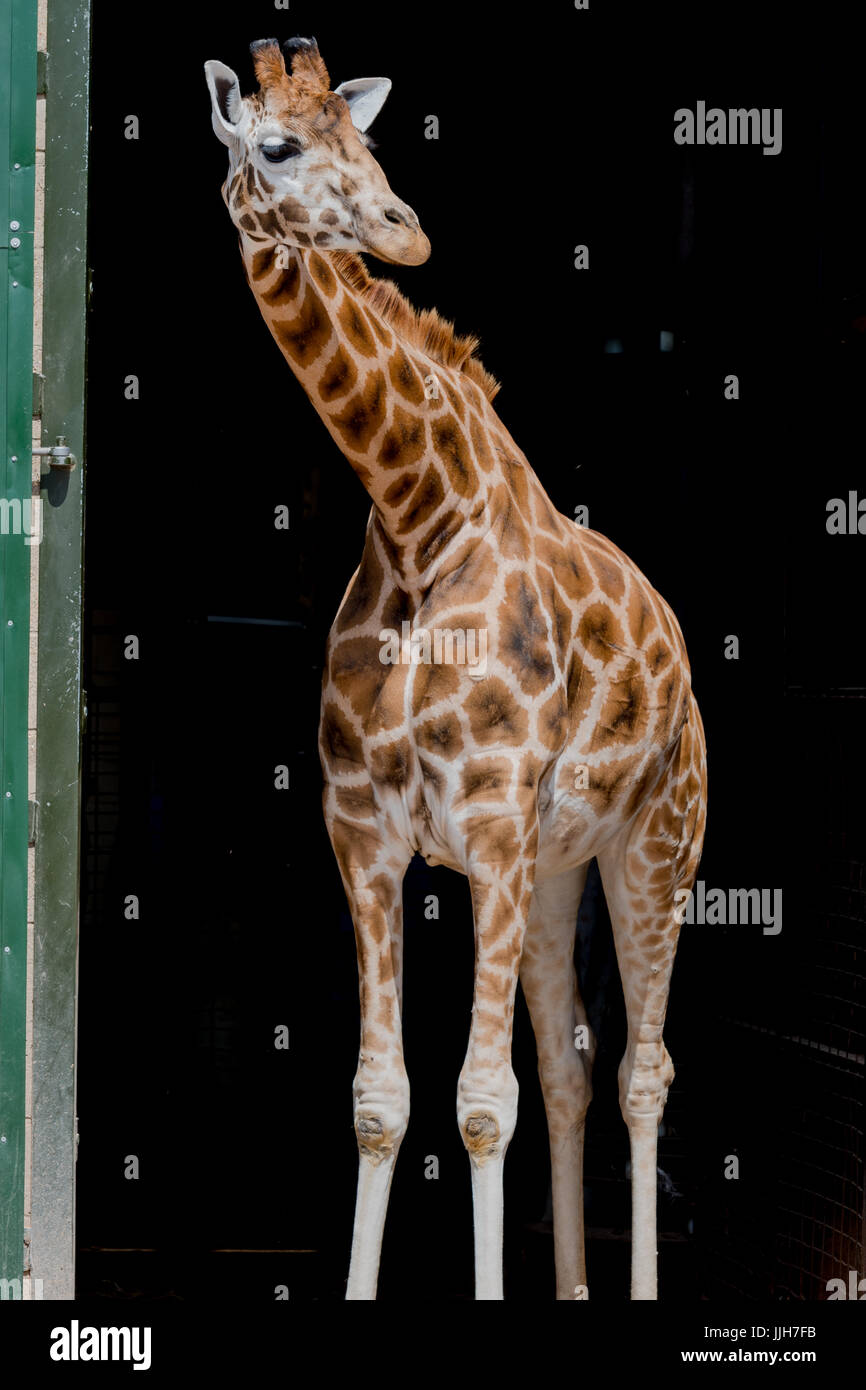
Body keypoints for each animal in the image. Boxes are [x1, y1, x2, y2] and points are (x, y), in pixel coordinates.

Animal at [205, 36, 707, 1301]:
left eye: (369, 140)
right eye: (275, 145)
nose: (403, 230)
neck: (415, 516)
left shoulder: (485, 824)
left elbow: (481, 1104)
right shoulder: (364, 833)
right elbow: (382, 1101)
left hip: (655, 845)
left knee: (642, 1071)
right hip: (557, 867)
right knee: (574, 1063)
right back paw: (571, 1285)